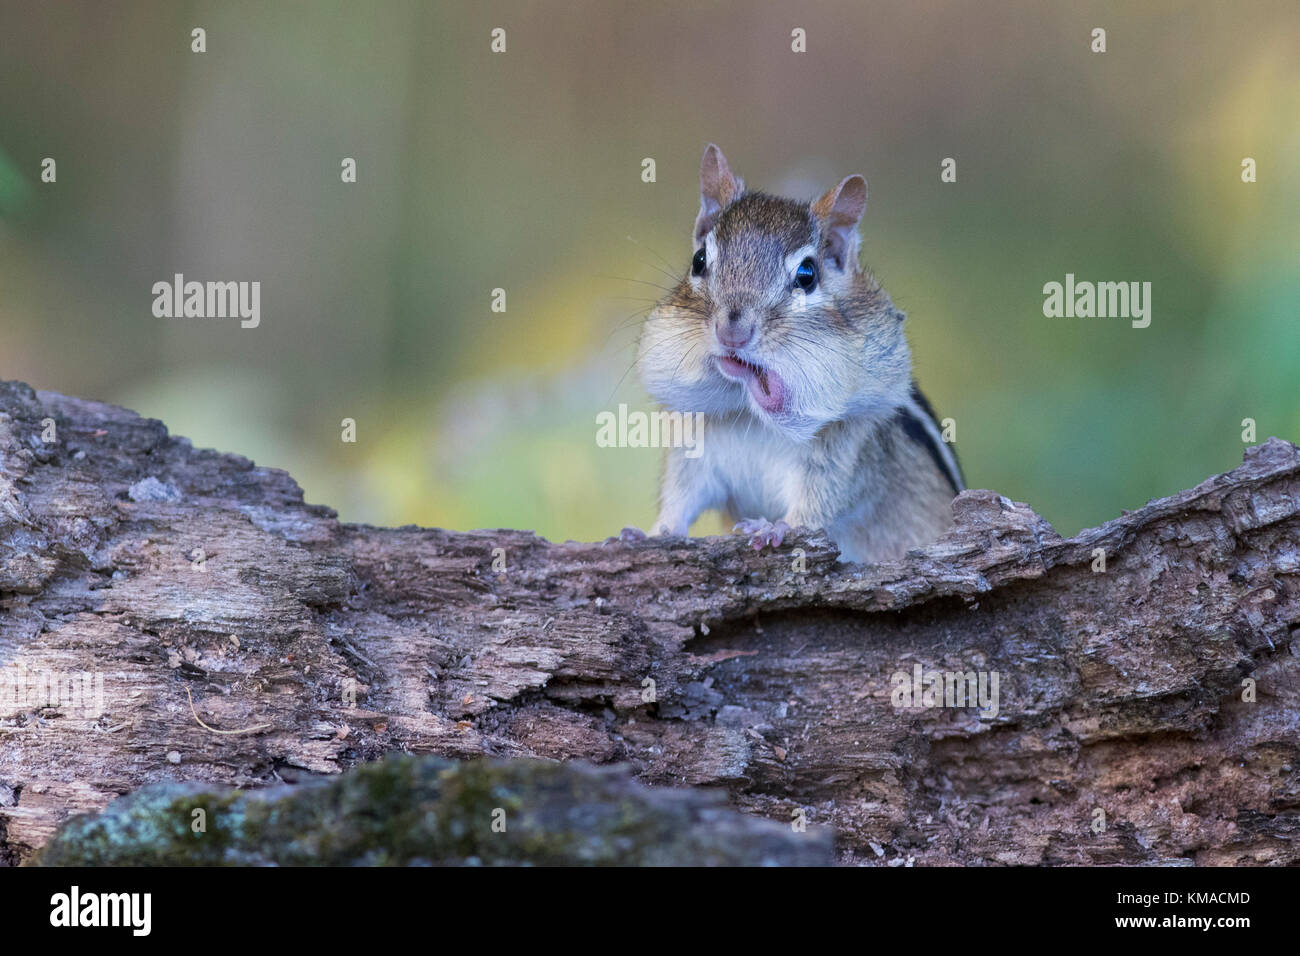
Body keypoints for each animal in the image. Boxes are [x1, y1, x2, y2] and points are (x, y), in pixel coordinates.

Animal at [634, 143, 964, 563]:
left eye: (807, 275)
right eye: (699, 261)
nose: (732, 333)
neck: (748, 418)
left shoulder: (843, 450)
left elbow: (816, 503)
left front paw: (778, 526)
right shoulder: (694, 449)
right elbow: (681, 498)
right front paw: (651, 533)